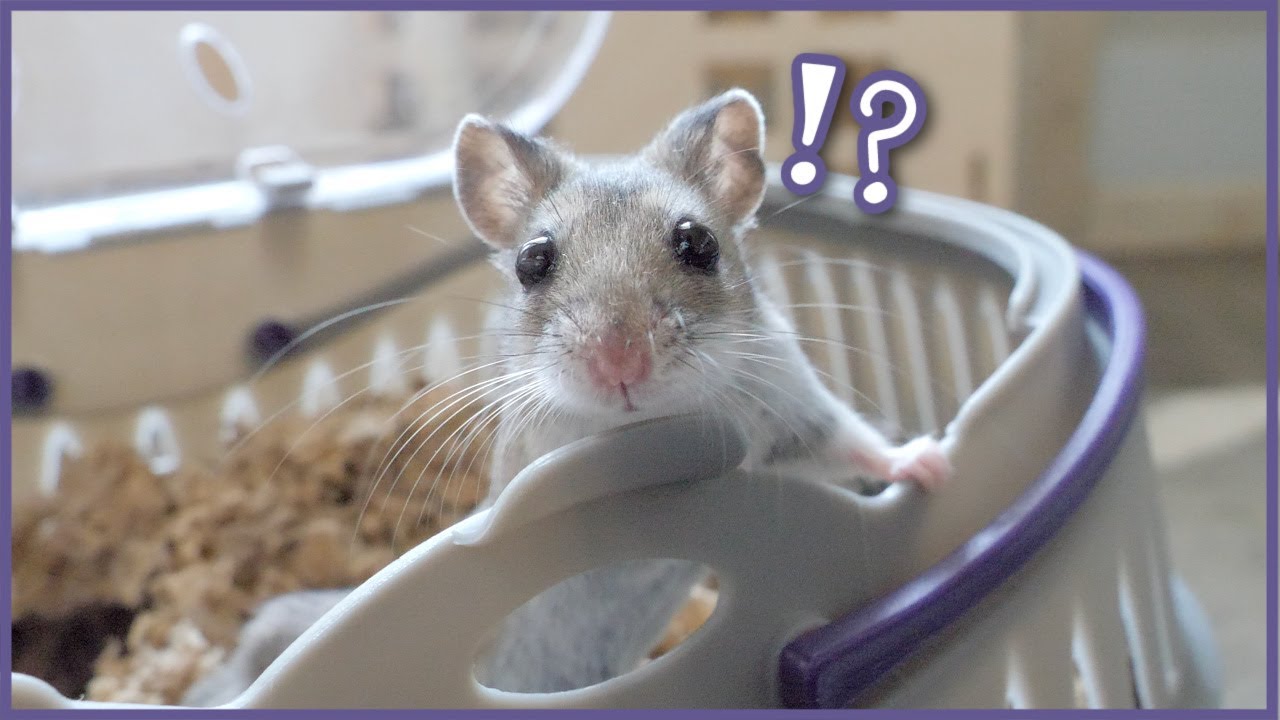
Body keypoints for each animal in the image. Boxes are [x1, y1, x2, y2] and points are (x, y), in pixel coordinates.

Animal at [182, 89, 949, 706]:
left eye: (697, 242)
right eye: (533, 261)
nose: (621, 363)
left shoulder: (792, 407)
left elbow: (854, 443)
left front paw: (933, 466)